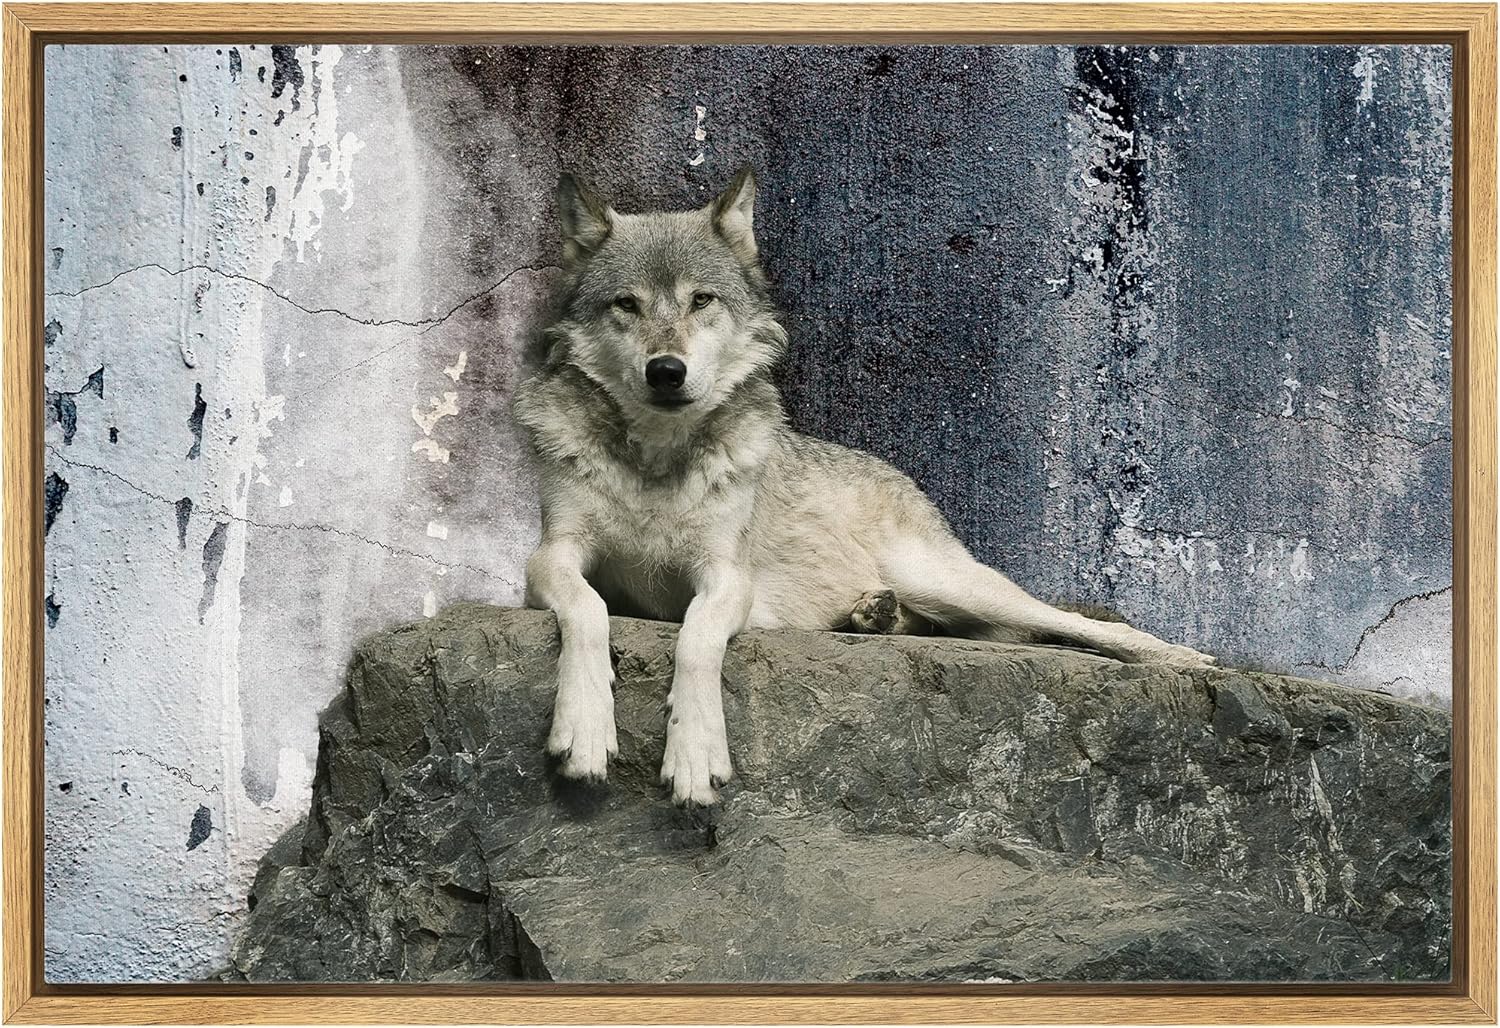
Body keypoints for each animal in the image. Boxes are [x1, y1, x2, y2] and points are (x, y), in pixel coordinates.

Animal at [512, 168, 1214, 807]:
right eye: (626, 304)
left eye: (701, 301)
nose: (666, 371)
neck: (657, 461)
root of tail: (898, 476)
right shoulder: (551, 558)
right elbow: (589, 609)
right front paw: (585, 727)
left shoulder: (725, 576)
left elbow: (697, 638)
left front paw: (694, 752)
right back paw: (877, 616)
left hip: (948, 579)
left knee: (1074, 624)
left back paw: (1183, 658)